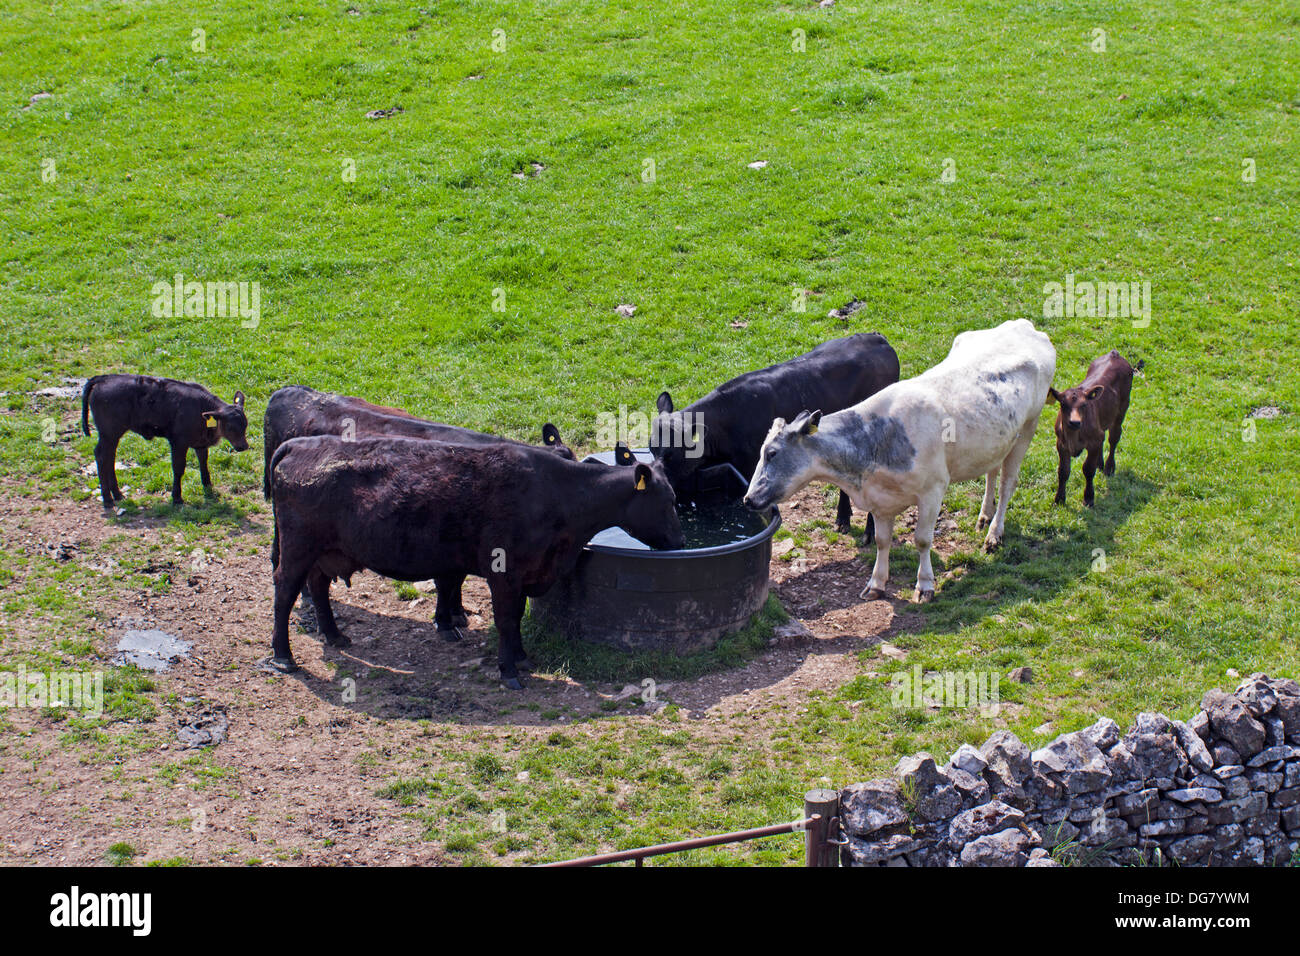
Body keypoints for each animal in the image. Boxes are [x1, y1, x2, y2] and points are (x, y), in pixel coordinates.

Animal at [81, 374, 249, 508]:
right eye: (230, 427)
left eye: (245, 425)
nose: (243, 446)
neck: (200, 410)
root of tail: (105, 378)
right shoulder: (178, 442)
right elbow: (179, 468)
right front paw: (177, 497)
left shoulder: (200, 442)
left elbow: (203, 462)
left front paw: (208, 487)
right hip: (109, 433)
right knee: (102, 456)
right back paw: (108, 499)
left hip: (112, 435)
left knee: (109, 457)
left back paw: (117, 494)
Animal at [268, 435, 684, 688]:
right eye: (669, 501)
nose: (681, 542)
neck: (557, 496)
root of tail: (300, 444)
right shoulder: (503, 571)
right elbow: (505, 619)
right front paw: (508, 670)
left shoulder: (526, 572)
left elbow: (515, 616)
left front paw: (521, 657)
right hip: (298, 549)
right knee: (285, 593)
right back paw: (283, 656)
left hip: (326, 552)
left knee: (318, 587)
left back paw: (334, 635)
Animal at [650, 333, 900, 541]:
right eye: (652, 448)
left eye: (672, 454)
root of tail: (878, 338)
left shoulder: (749, 469)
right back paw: (842, 520)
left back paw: (870, 532)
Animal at [743, 319, 1056, 603]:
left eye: (771, 453)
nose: (748, 498)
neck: (876, 441)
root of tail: (1023, 326)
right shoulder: (881, 499)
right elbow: (883, 541)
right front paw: (876, 584)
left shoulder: (933, 490)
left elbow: (922, 539)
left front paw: (925, 585)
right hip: (998, 439)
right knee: (992, 472)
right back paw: (984, 516)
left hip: (1028, 428)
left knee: (1007, 484)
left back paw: (993, 533)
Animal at [1048, 352, 1142, 507]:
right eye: (1063, 404)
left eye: (1084, 405)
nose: (1075, 422)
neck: (1073, 436)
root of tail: (1114, 354)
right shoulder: (1061, 443)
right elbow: (1063, 471)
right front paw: (1059, 498)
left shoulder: (1092, 443)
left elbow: (1088, 469)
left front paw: (1088, 498)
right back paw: (1100, 463)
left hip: (1122, 409)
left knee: (1114, 438)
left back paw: (1109, 467)